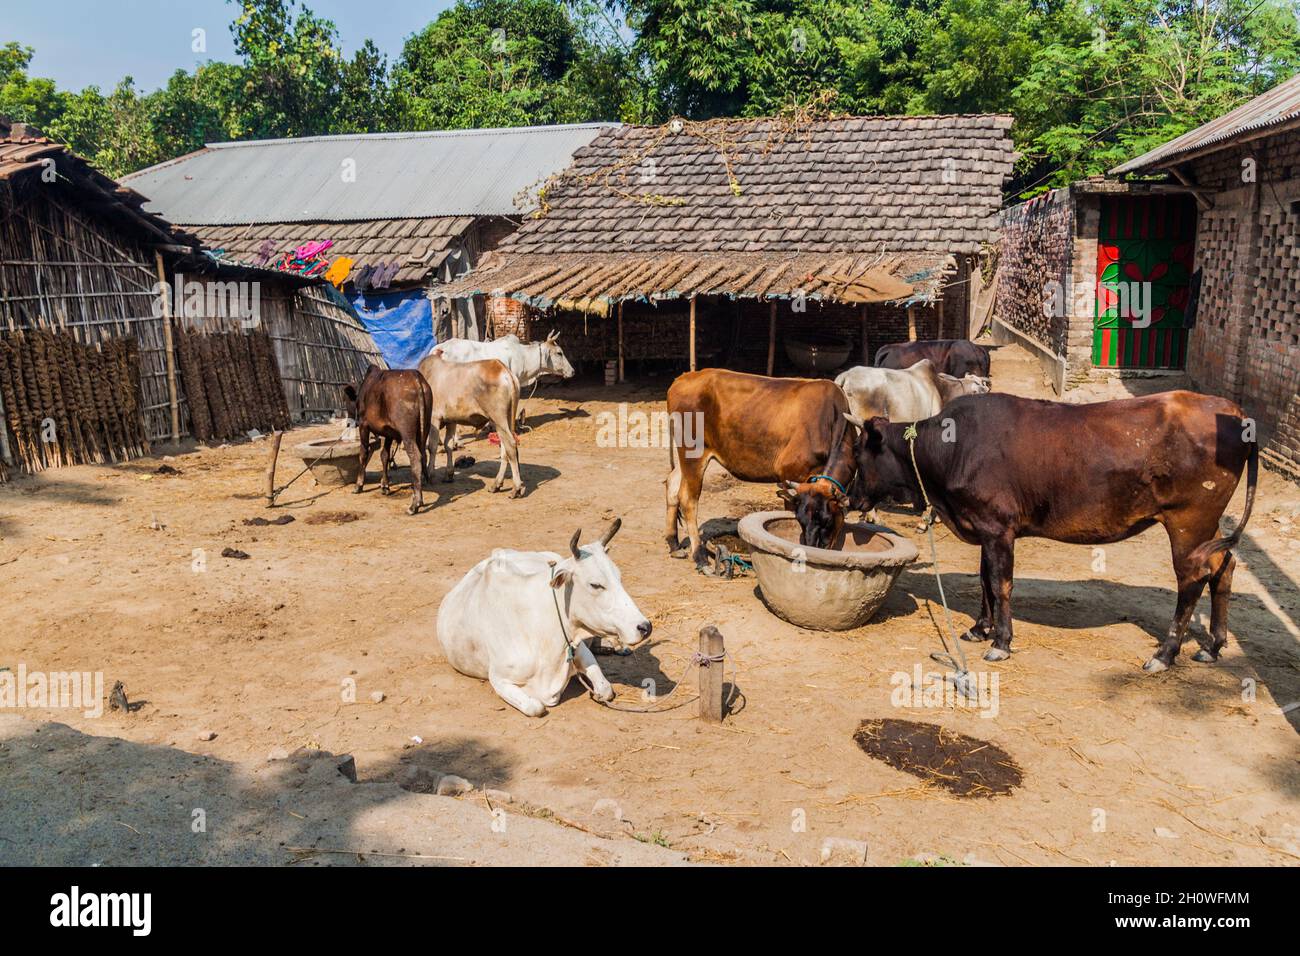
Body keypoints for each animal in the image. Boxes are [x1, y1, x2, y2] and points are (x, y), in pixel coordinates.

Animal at [342, 365, 431, 515]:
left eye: (347, 402)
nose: (349, 424)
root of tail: (416, 377)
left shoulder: (364, 425)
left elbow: (363, 453)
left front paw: (358, 485)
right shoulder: (389, 432)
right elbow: (384, 455)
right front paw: (385, 485)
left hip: (407, 433)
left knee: (416, 457)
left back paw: (415, 504)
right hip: (425, 428)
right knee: (423, 454)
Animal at [417, 352, 525, 497]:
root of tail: (505, 371)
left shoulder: (434, 417)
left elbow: (432, 447)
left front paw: (429, 474)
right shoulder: (451, 420)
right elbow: (448, 445)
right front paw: (449, 474)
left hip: (499, 419)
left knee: (511, 445)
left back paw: (516, 488)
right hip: (504, 420)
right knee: (505, 449)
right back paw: (496, 484)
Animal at [436, 519, 652, 716]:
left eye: (619, 577)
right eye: (595, 585)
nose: (645, 627)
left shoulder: (578, 648)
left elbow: (605, 689)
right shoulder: (498, 678)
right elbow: (535, 707)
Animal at [666, 369, 856, 570]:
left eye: (827, 520)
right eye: (801, 520)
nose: (812, 547)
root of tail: (682, 378)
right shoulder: (790, 473)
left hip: (686, 456)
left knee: (672, 484)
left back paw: (674, 544)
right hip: (694, 453)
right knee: (688, 500)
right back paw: (699, 556)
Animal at [846, 391, 1258, 672]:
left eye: (859, 455)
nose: (851, 497)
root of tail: (1235, 413)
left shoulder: (998, 527)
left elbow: (1000, 584)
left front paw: (1000, 641)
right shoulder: (984, 527)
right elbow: (984, 580)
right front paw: (980, 628)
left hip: (1189, 521)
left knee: (1192, 578)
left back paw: (1165, 654)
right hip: (1207, 525)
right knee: (1224, 566)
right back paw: (1213, 646)